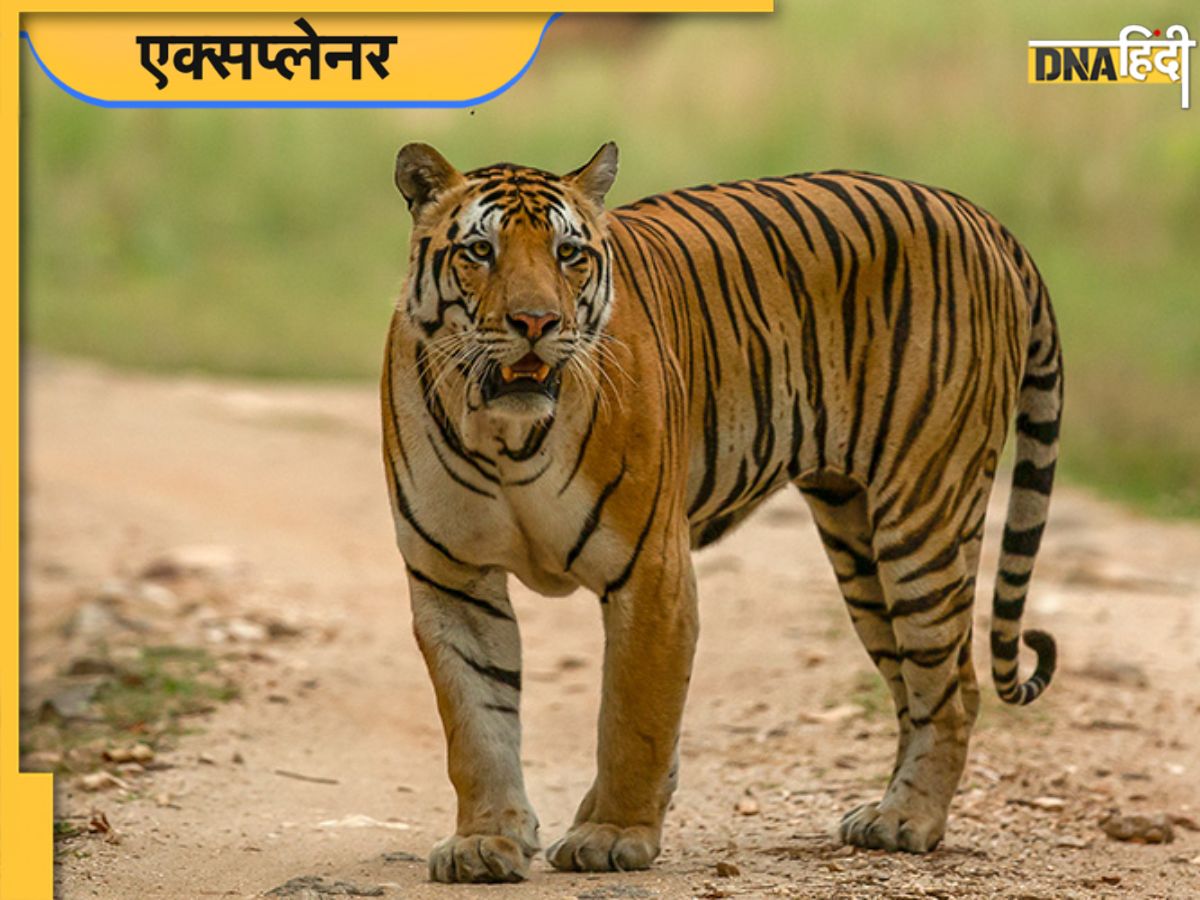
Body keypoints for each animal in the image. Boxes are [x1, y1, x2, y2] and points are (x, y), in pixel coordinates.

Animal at [381, 141, 1061, 884]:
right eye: (481, 250)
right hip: (859, 540)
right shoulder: (453, 578)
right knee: (914, 685)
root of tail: (977, 214)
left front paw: (612, 834)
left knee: (954, 688)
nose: (536, 324)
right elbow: (478, 724)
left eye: (568, 254)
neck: (504, 433)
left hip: (923, 513)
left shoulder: (651, 571)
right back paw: (887, 811)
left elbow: (633, 717)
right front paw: (486, 841)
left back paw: (906, 821)